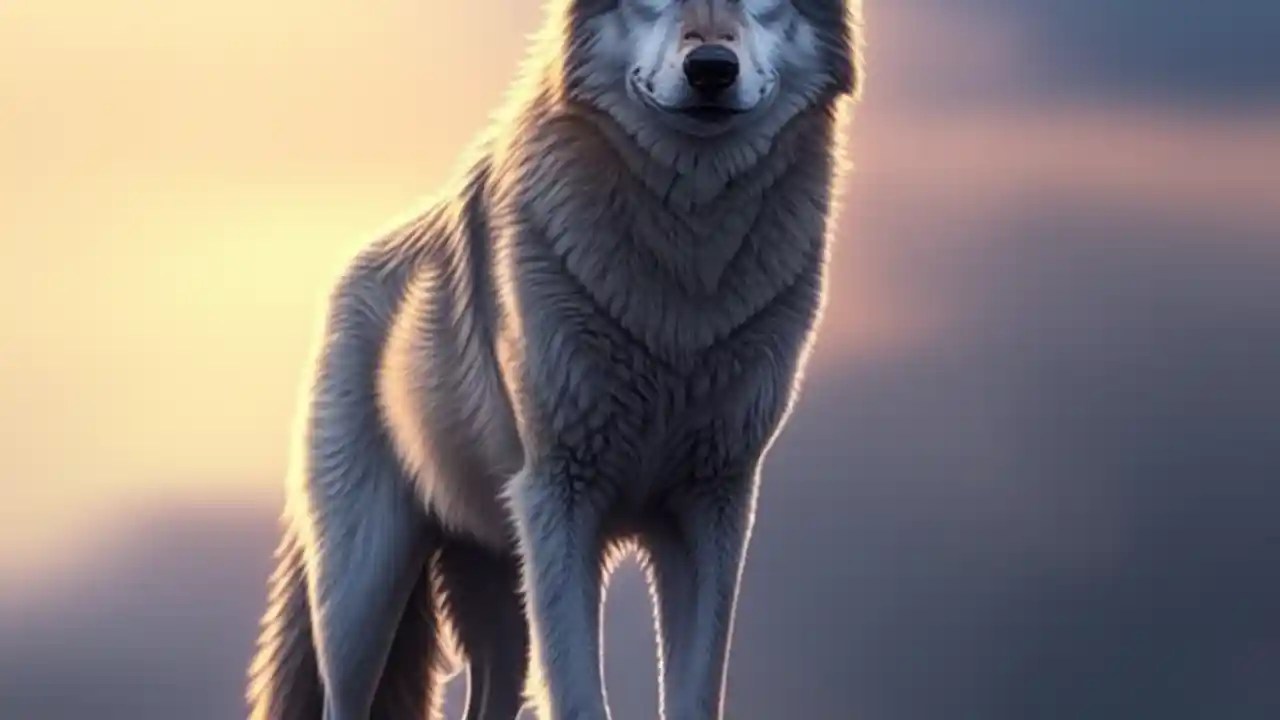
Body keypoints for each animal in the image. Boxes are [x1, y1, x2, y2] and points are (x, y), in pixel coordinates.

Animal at [247, 1, 861, 718]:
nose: (710, 69)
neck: (683, 295)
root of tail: (353, 268)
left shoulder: (713, 504)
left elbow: (694, 691)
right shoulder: (559, 495)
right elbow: (577, 693)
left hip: (498, 586)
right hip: (364, 588)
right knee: (343, 694)